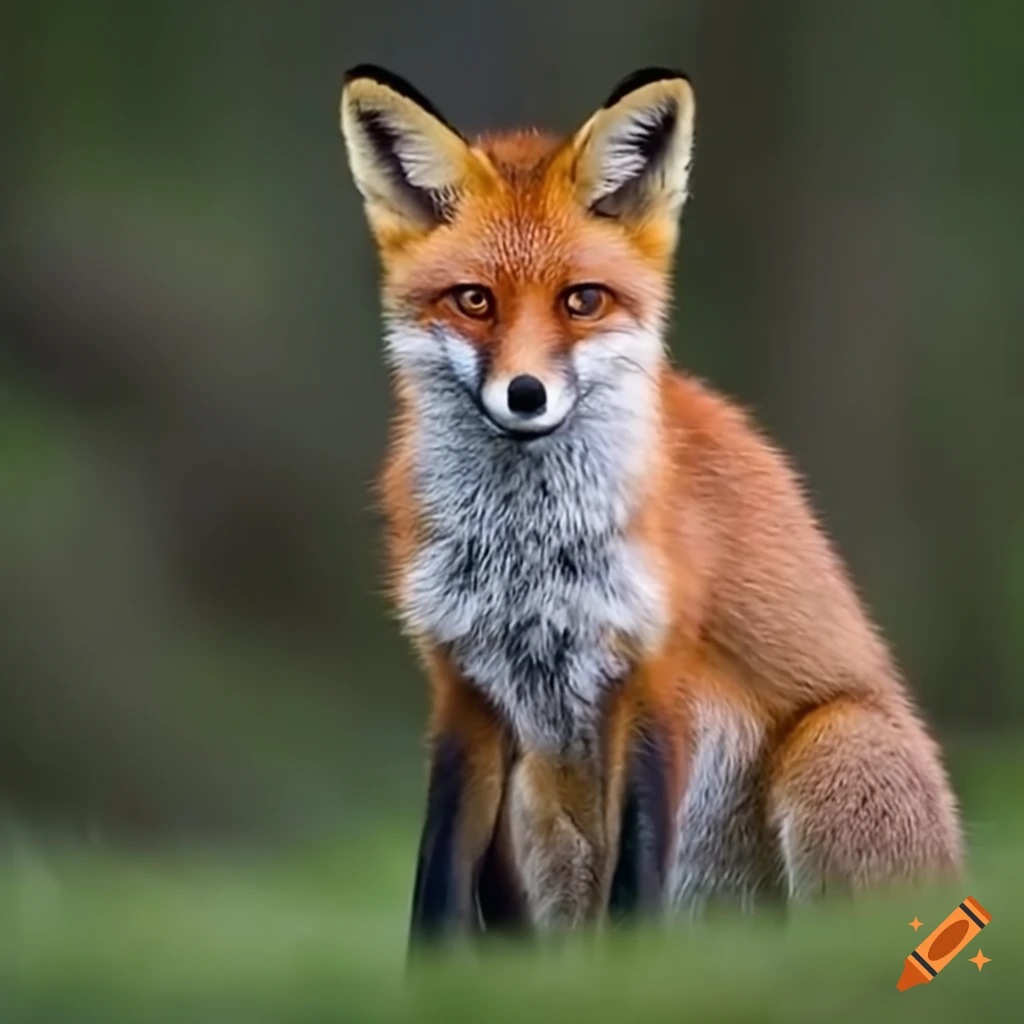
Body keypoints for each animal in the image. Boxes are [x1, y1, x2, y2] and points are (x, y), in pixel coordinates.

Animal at [337, 64, 964, 949]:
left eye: (582, 300)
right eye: (474, 301)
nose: (524, 395)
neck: (529, 549)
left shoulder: (656, 676)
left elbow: (634, 891)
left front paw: (631, 974)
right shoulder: (461, 687)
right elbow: (435, 894)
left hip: (834, 740)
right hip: (540, 790)